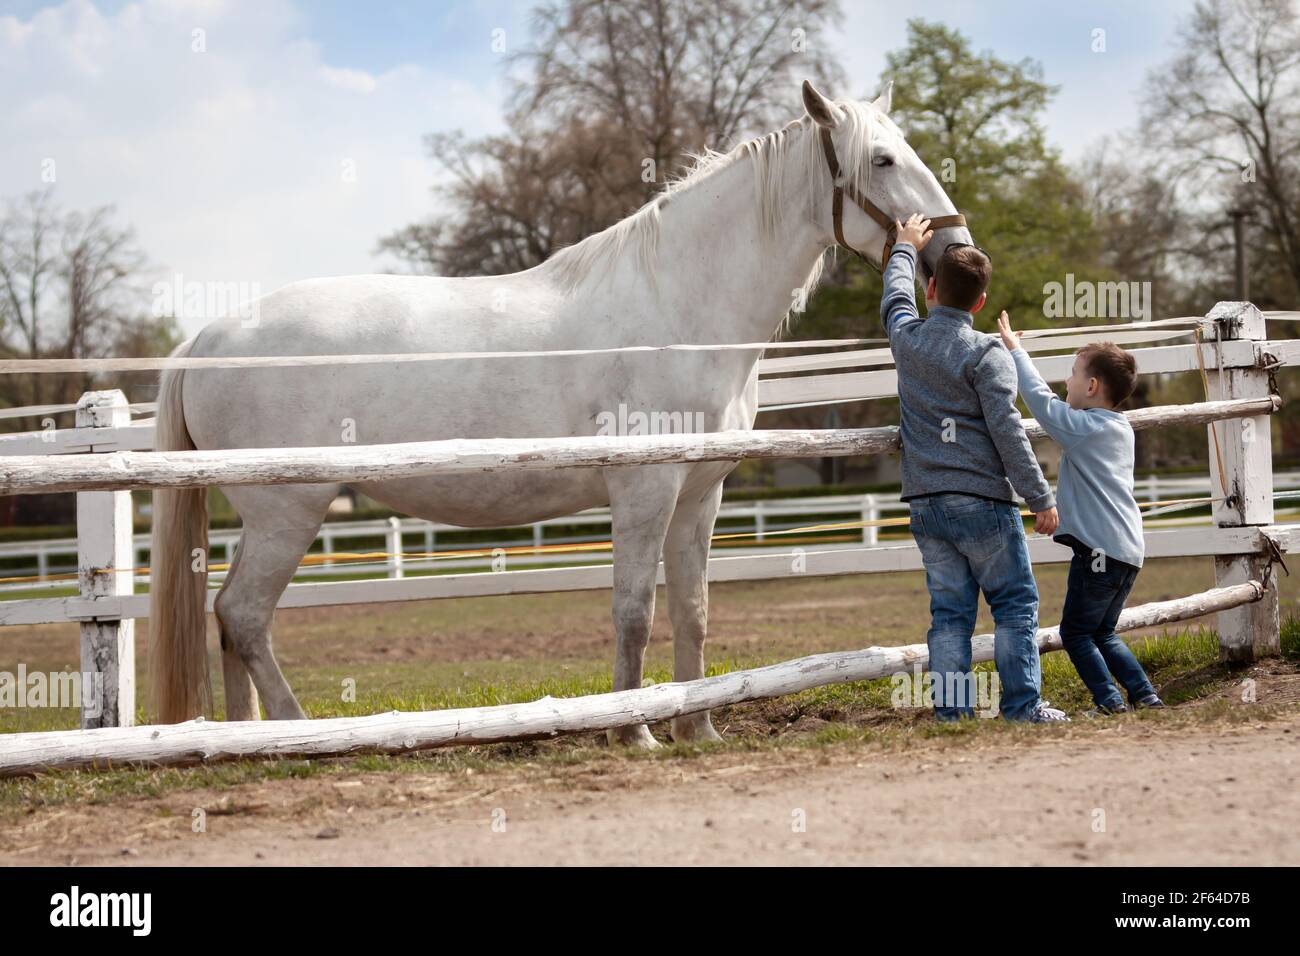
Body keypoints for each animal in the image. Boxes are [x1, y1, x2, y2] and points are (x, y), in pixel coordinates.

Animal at [149, 79, 973, 747]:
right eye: (882, 161)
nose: (960, 256)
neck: (681, 304)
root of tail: (207, 339)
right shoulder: (643, 491)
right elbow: (634, 611)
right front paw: (634, 730)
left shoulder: (699, 496)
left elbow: (695, 610)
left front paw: (699, 727)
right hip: (288, 510)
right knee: (244, 615)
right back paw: (295, 732)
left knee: (230, 620)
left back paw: (245, 737)